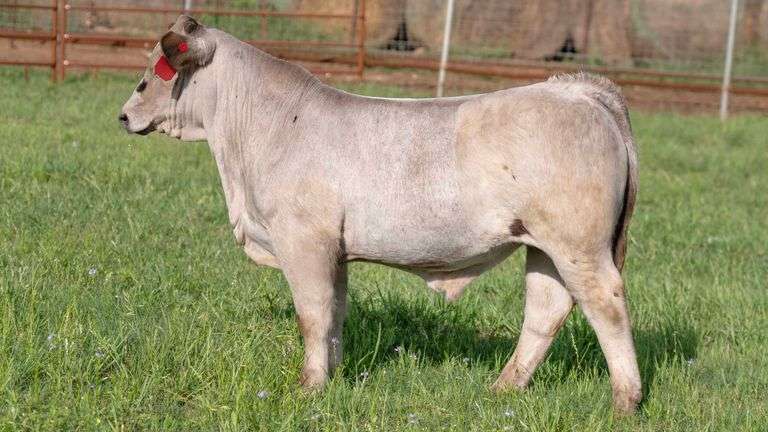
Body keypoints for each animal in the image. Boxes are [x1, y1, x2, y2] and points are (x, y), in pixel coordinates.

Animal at [119, 15, 641, 414]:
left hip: (579, 245)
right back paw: (502, 388)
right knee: (546, 308)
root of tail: (578, 90)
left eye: (156, 69)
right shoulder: (334, 251)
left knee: (607, 305)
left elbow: (311, 313)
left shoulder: (303, 241)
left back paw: (624, 401)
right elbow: (334, 313)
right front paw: (331, 375)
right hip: (545, 247)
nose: (124, 114)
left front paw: (309, 387)